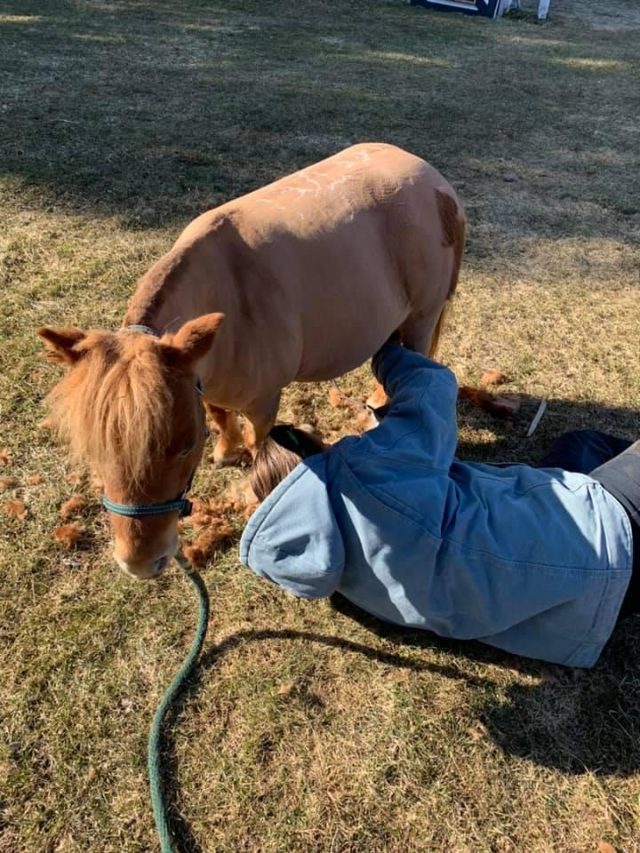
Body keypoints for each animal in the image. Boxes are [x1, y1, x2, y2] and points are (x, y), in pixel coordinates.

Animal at [39, 142, 465, 579]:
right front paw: (227, 452)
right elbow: (219, 415)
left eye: (185, 445)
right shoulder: (203, 379)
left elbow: (260, 440)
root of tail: (434, 181)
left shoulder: (263, 401)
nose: (140, 563)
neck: (228, 297)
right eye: (96, 449)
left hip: (422, 316)